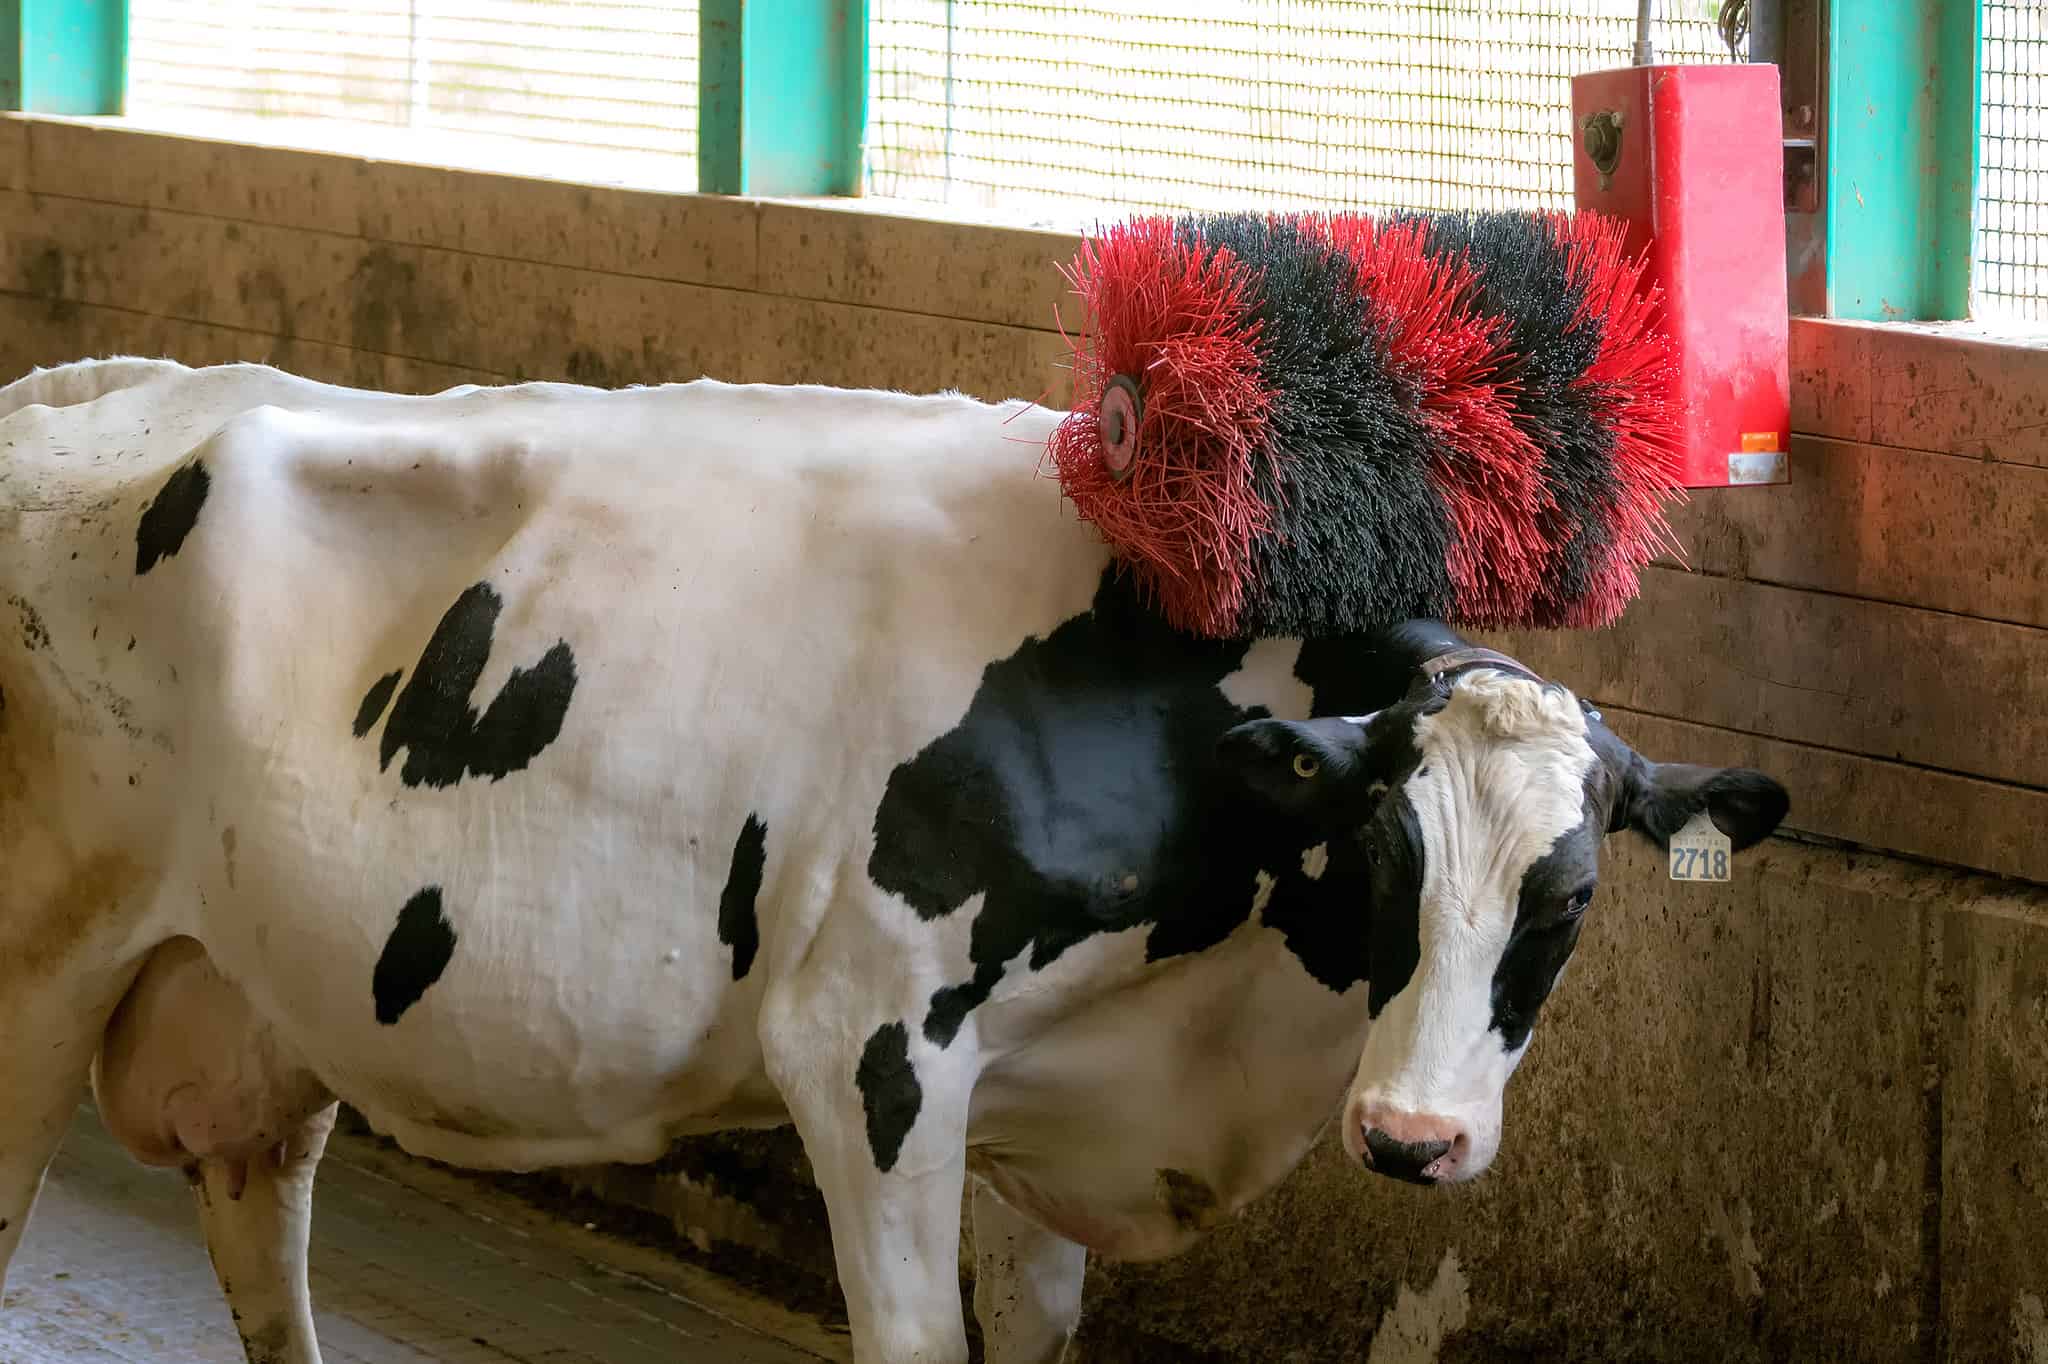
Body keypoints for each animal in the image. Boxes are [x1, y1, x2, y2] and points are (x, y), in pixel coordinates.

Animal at [0, 357, 1789, 1364]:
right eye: (1377, 858)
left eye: (1570, 897)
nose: (1416, 1139)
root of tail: (78, 388)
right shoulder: (866, 1044)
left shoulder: (1043, 1100)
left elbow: (1039, 1328)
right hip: (35, 962)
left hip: (250, 1002)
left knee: (261, 1239)